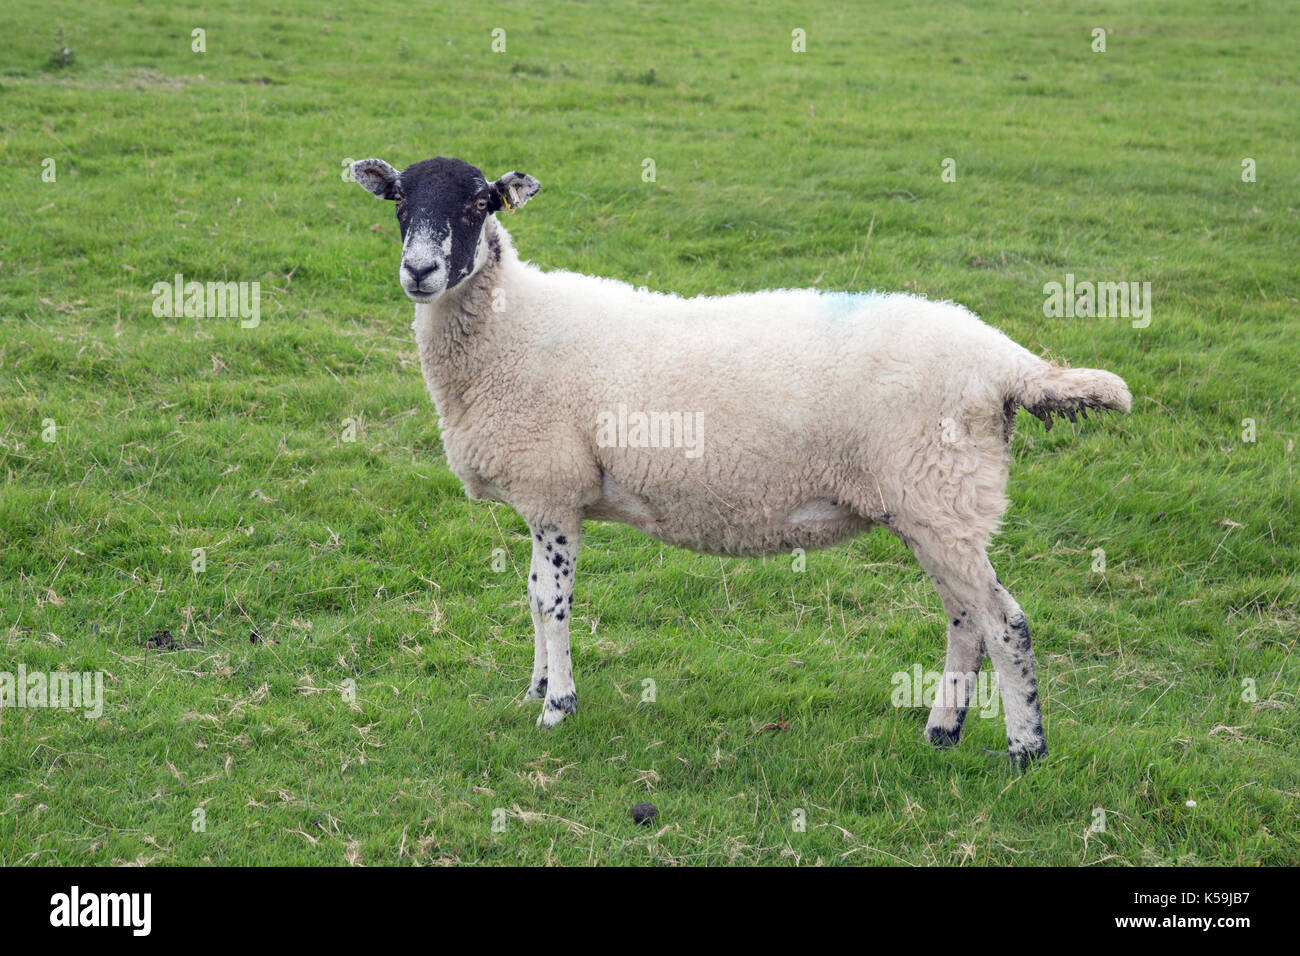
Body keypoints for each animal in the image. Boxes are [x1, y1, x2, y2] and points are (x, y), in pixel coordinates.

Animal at [348, 155, 1132, 766]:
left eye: (479, 204)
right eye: (399, 201)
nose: (420, 271)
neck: (508, 327)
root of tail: (1006, 362)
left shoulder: (552, 488)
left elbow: (551, 599)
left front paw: (558, 706)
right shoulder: (546, 499)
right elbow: (534, 595)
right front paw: (536, 689)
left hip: (942, 496)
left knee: (1006, 622)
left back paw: (1026, 749)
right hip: (934, 507)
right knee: (965, 618)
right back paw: (943, 732)